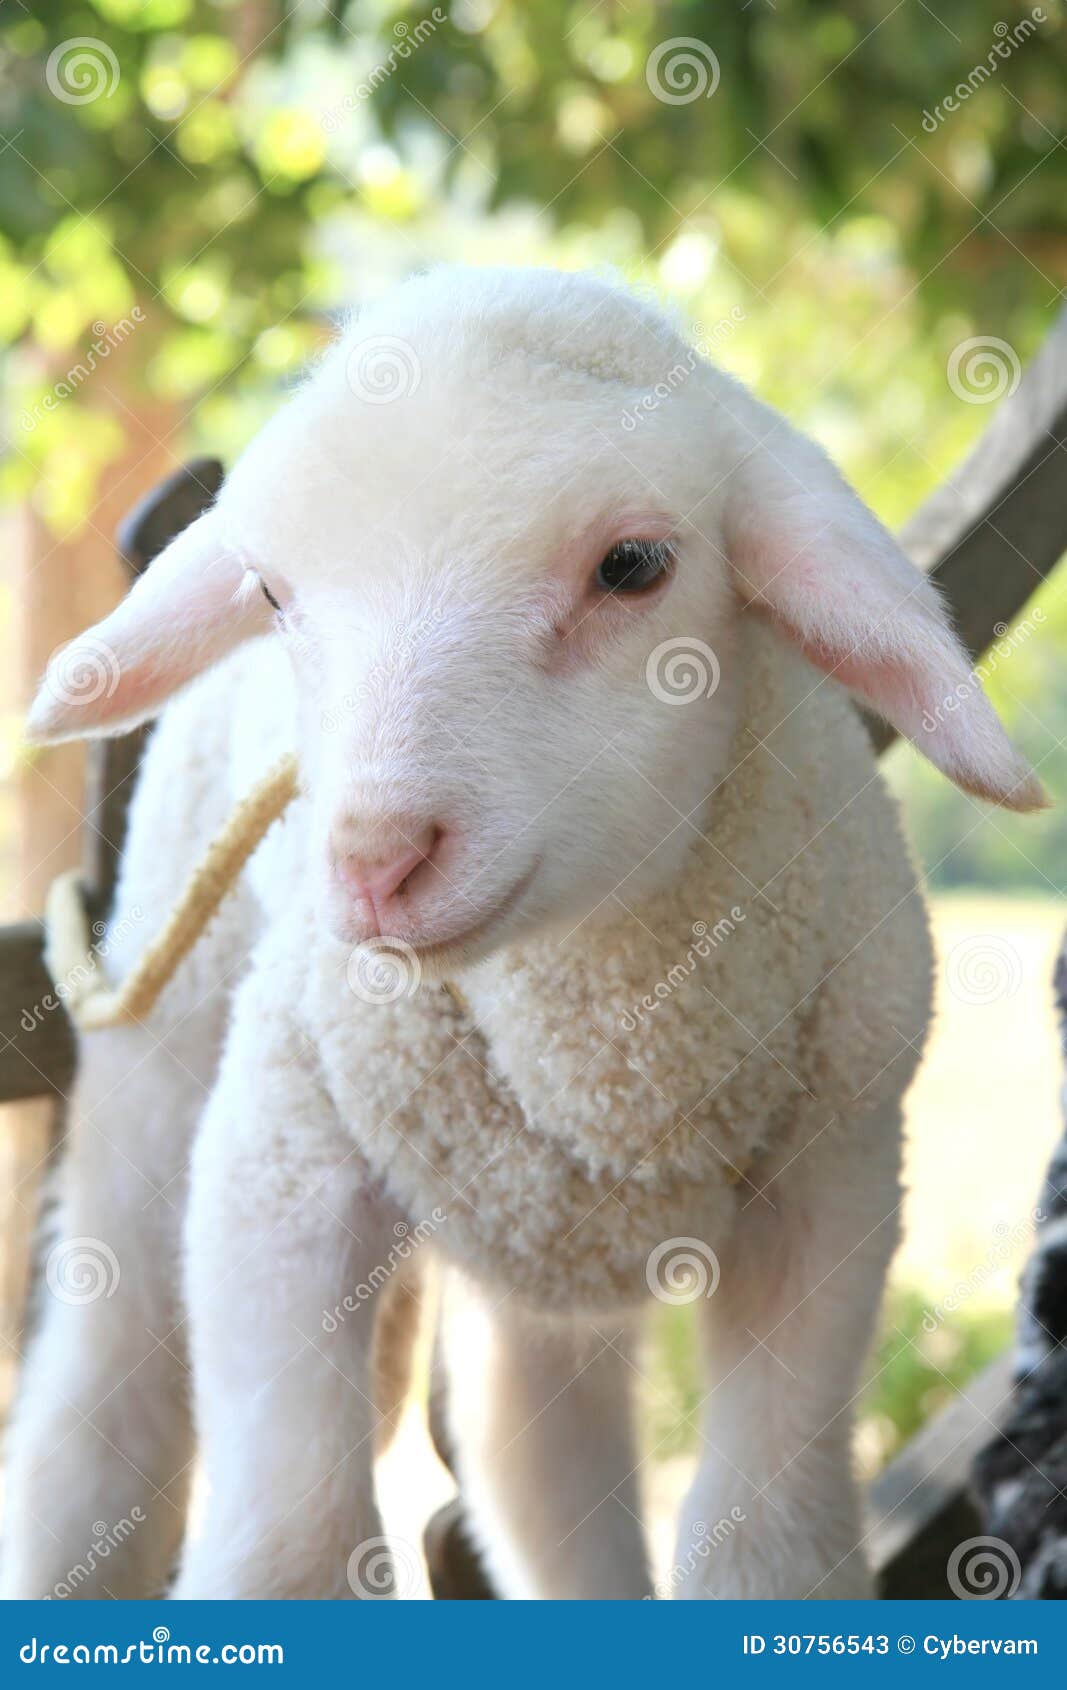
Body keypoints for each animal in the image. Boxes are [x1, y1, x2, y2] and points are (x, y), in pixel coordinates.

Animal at [2, 265, 1043, 1602]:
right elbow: (289, 1540)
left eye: (633, 565)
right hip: (162, 1047)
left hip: (539, 1241)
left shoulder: (835, 1174)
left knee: (534, 1453)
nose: (373, 861)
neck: (610, 1054)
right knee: (101, 1399)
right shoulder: (277, 1164)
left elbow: (764, 1538)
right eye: (275, 594)